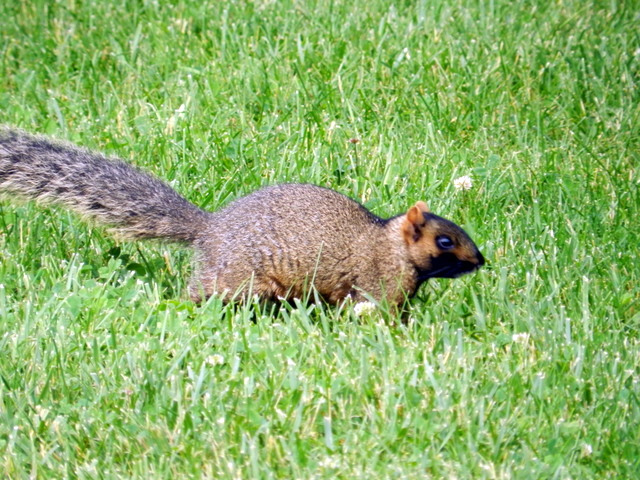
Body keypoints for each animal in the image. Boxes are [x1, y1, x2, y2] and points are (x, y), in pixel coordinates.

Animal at [0, 127, 484, 306]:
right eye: (444, 240)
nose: (481, 261)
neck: (390, 245)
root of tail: (210, 230)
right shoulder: (376, 281)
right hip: (237, 277)